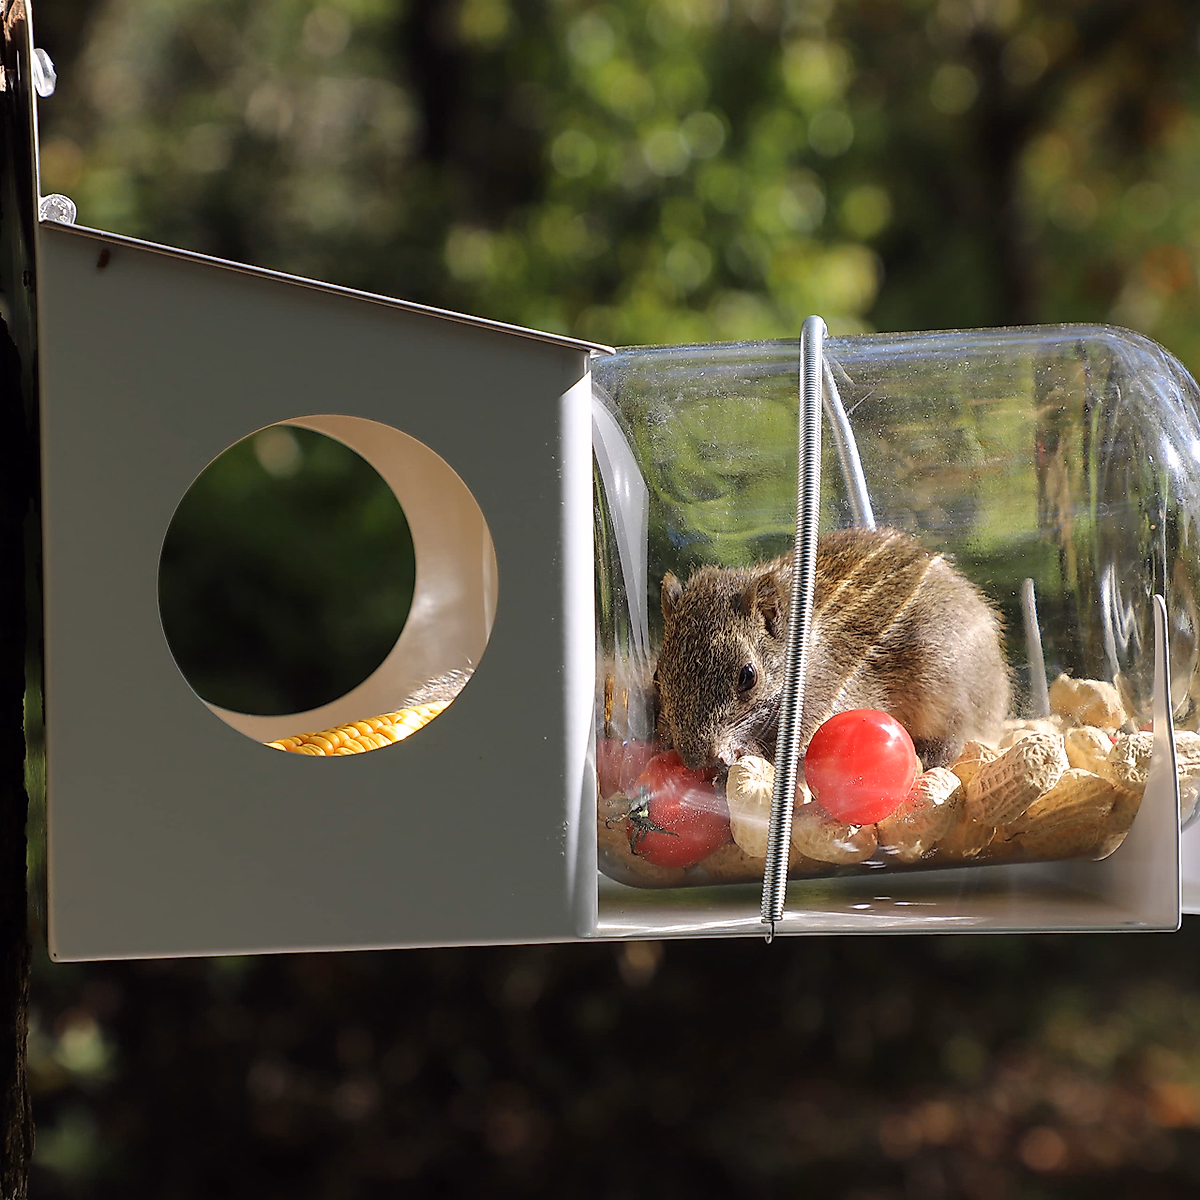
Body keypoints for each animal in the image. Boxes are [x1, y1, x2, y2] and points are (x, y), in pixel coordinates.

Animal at [653, 526, 1010, 772]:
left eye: (748, 677)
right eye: (658, 675)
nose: (695, 760)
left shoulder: (830, 694)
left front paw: (743, 752)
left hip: (947, 691)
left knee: (955, 738)